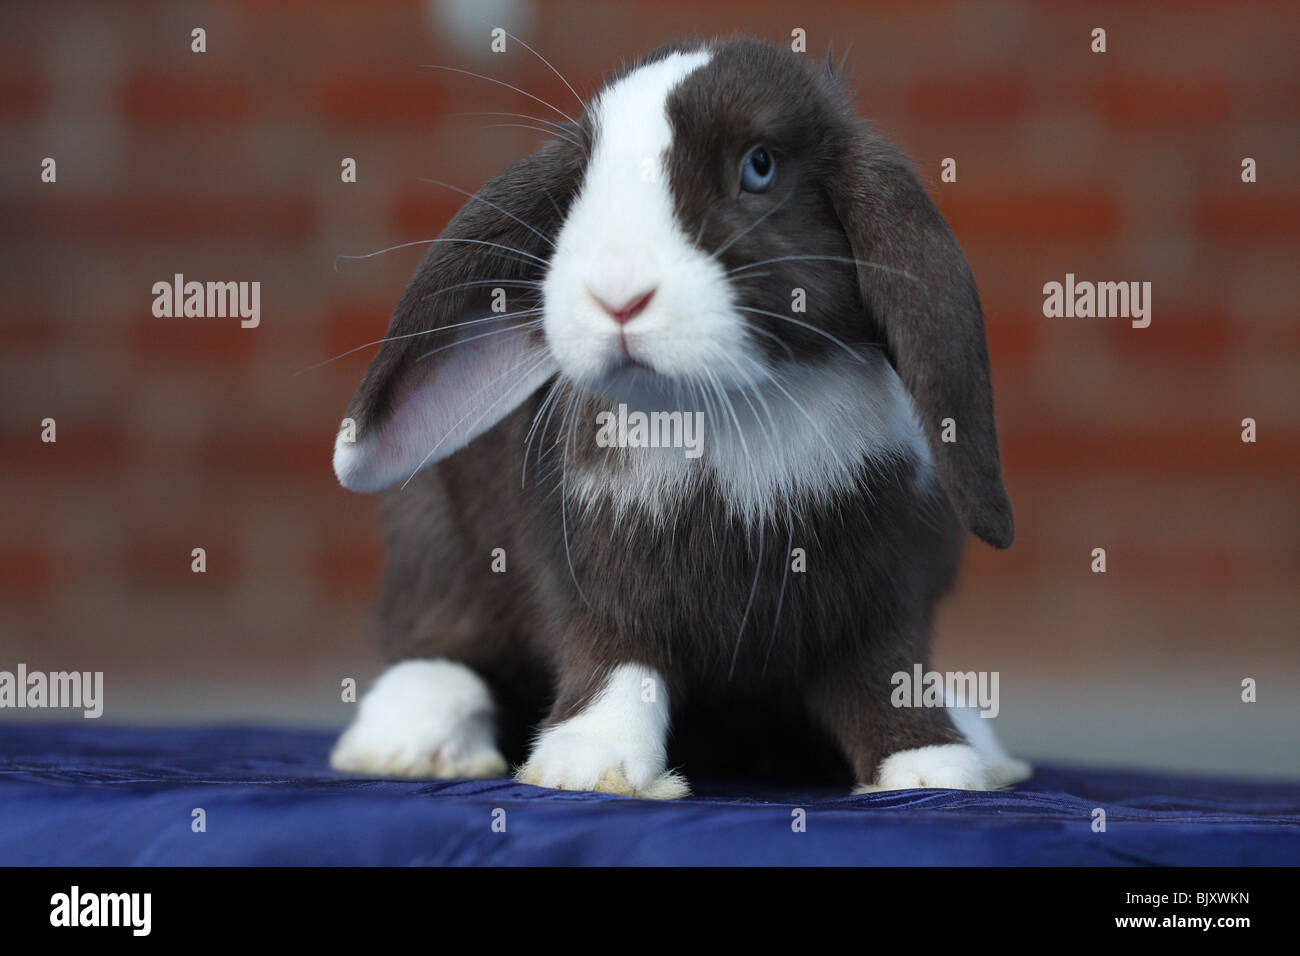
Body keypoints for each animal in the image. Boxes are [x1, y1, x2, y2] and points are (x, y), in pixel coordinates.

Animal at [328, 35, 1031, 798]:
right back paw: (417, 742)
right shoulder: (600, 584)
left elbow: (887, 672)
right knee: (438, 644)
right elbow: (615, 659)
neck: (722, 411)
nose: (616, 292)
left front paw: (932, 766)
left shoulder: (884, 595)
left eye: (759, 167)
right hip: (436, 550)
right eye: (581, 187)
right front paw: (592, 765)